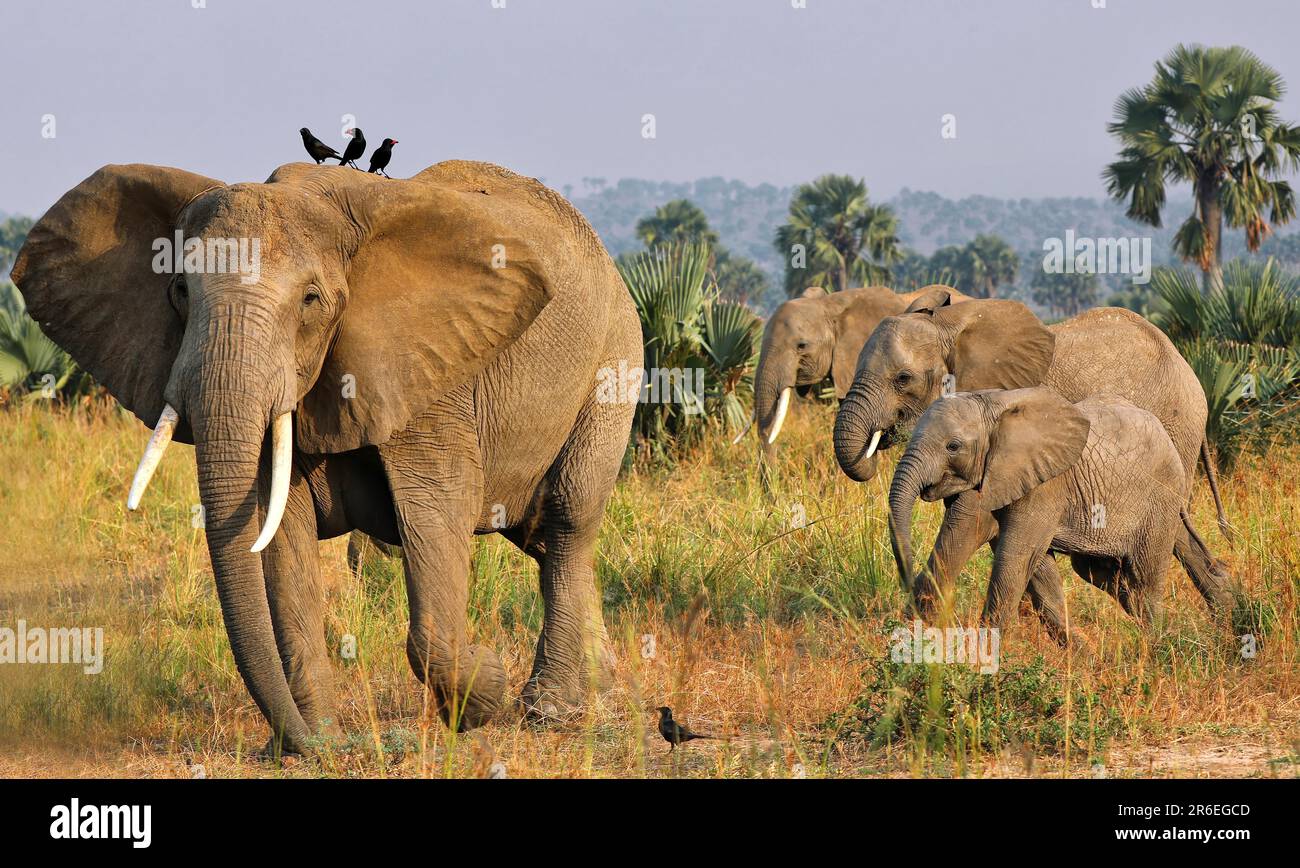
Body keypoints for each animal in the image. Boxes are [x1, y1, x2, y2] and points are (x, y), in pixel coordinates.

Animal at [12, 160, 642, 752]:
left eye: (311, 301)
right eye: (181, 293)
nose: (295, 743)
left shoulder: (428, 376)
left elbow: (437, 516)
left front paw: (482, 692)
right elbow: (278, 533)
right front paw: (318, 745)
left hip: (615, 363)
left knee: (567, 520)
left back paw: (551, 710)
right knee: (542, 537)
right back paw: (596, 689)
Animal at [889, 388, 1187, 628]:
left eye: (953, 446)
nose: (905, 580)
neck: (992, 403)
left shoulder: (1045, 486)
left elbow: (1015, 557)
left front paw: (987, 651)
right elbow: (957, 541)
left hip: (1161, 502)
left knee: (1143, 582)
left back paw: (1154, 644)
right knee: (1103, 575)